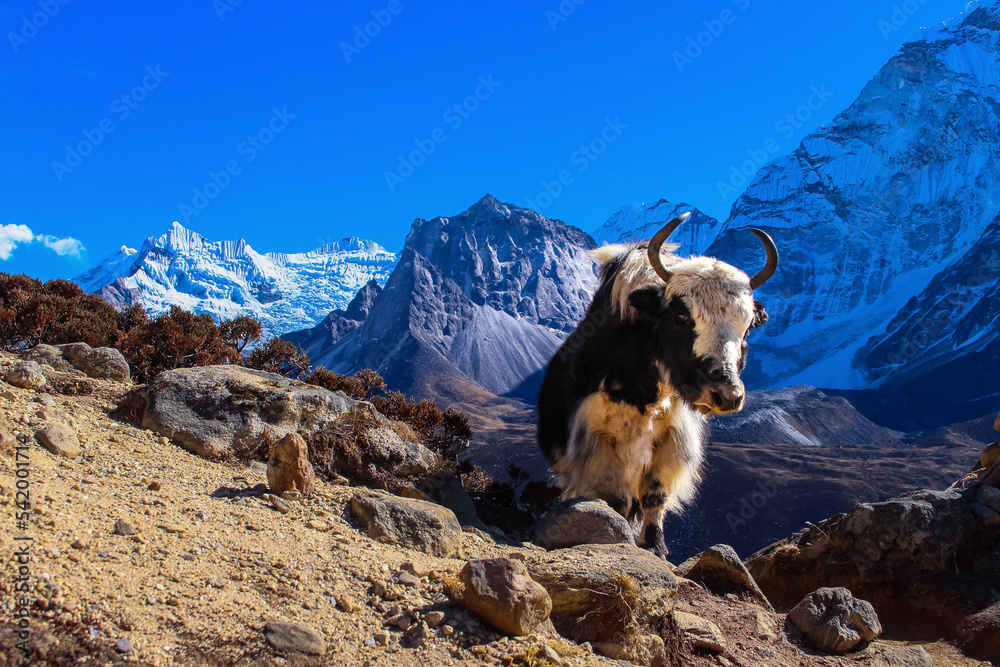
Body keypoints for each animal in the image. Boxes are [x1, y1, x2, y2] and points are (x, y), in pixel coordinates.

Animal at [536, 212, 778, 558]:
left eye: (746, 328)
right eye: (681, 317)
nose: (726, 395)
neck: (643, 388)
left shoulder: (672, 439)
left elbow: (655, 495)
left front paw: (656, 549)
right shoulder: (596, 440)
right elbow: (617, 500)